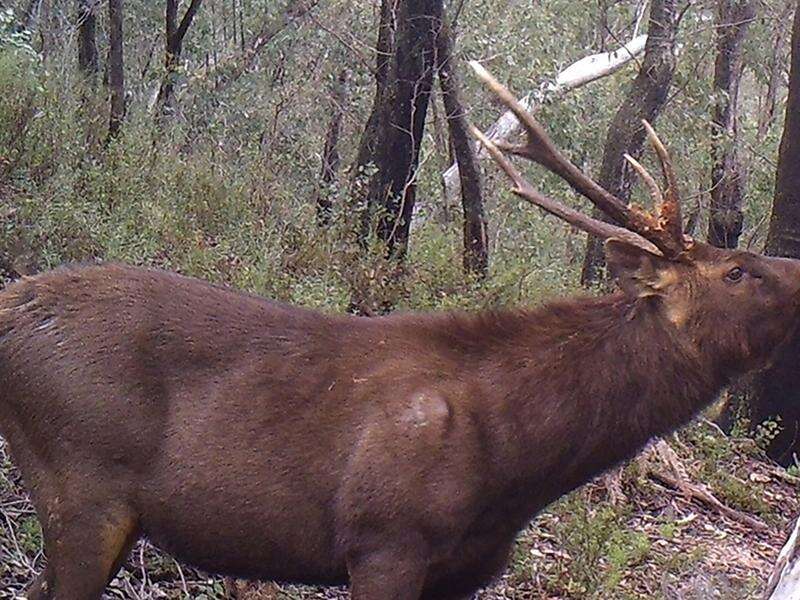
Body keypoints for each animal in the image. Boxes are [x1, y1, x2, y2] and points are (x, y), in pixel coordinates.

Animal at [1, 65, 800, 600]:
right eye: (737, 271)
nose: (796, 264)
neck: (520, 464)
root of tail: (12, 303)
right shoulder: (386, 539)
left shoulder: (462, 572)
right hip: (80, 482)